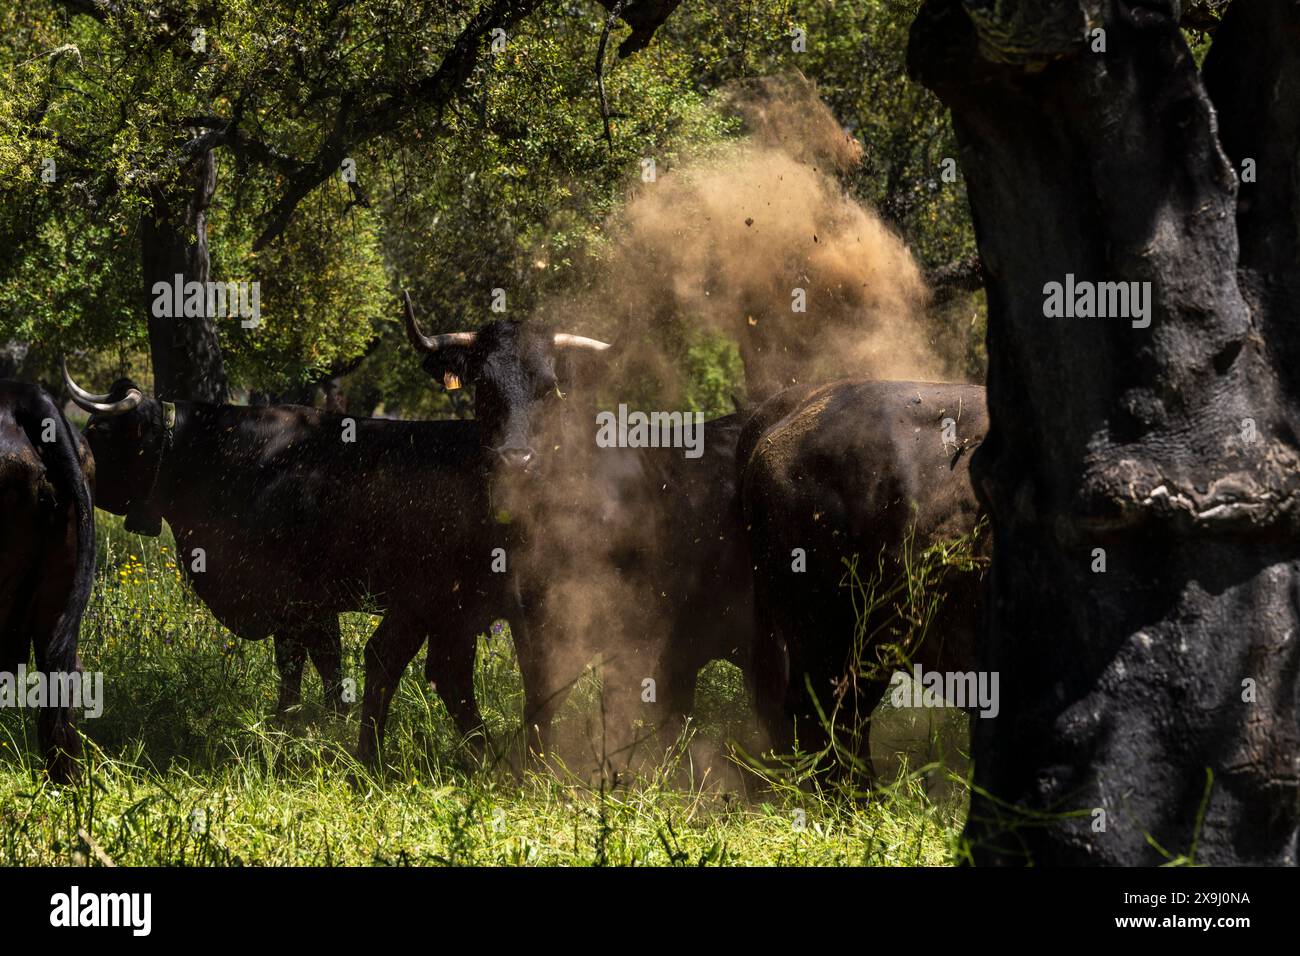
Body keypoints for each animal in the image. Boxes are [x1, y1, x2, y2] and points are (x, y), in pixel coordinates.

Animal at [63, 295, 611, 765]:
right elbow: (326, 665)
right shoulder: (316, 603)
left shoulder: (293, 598)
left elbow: (296, 666)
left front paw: (290, 729)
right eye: (484, 386)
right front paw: (321, 725)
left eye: (99, 431)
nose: (75, 464)